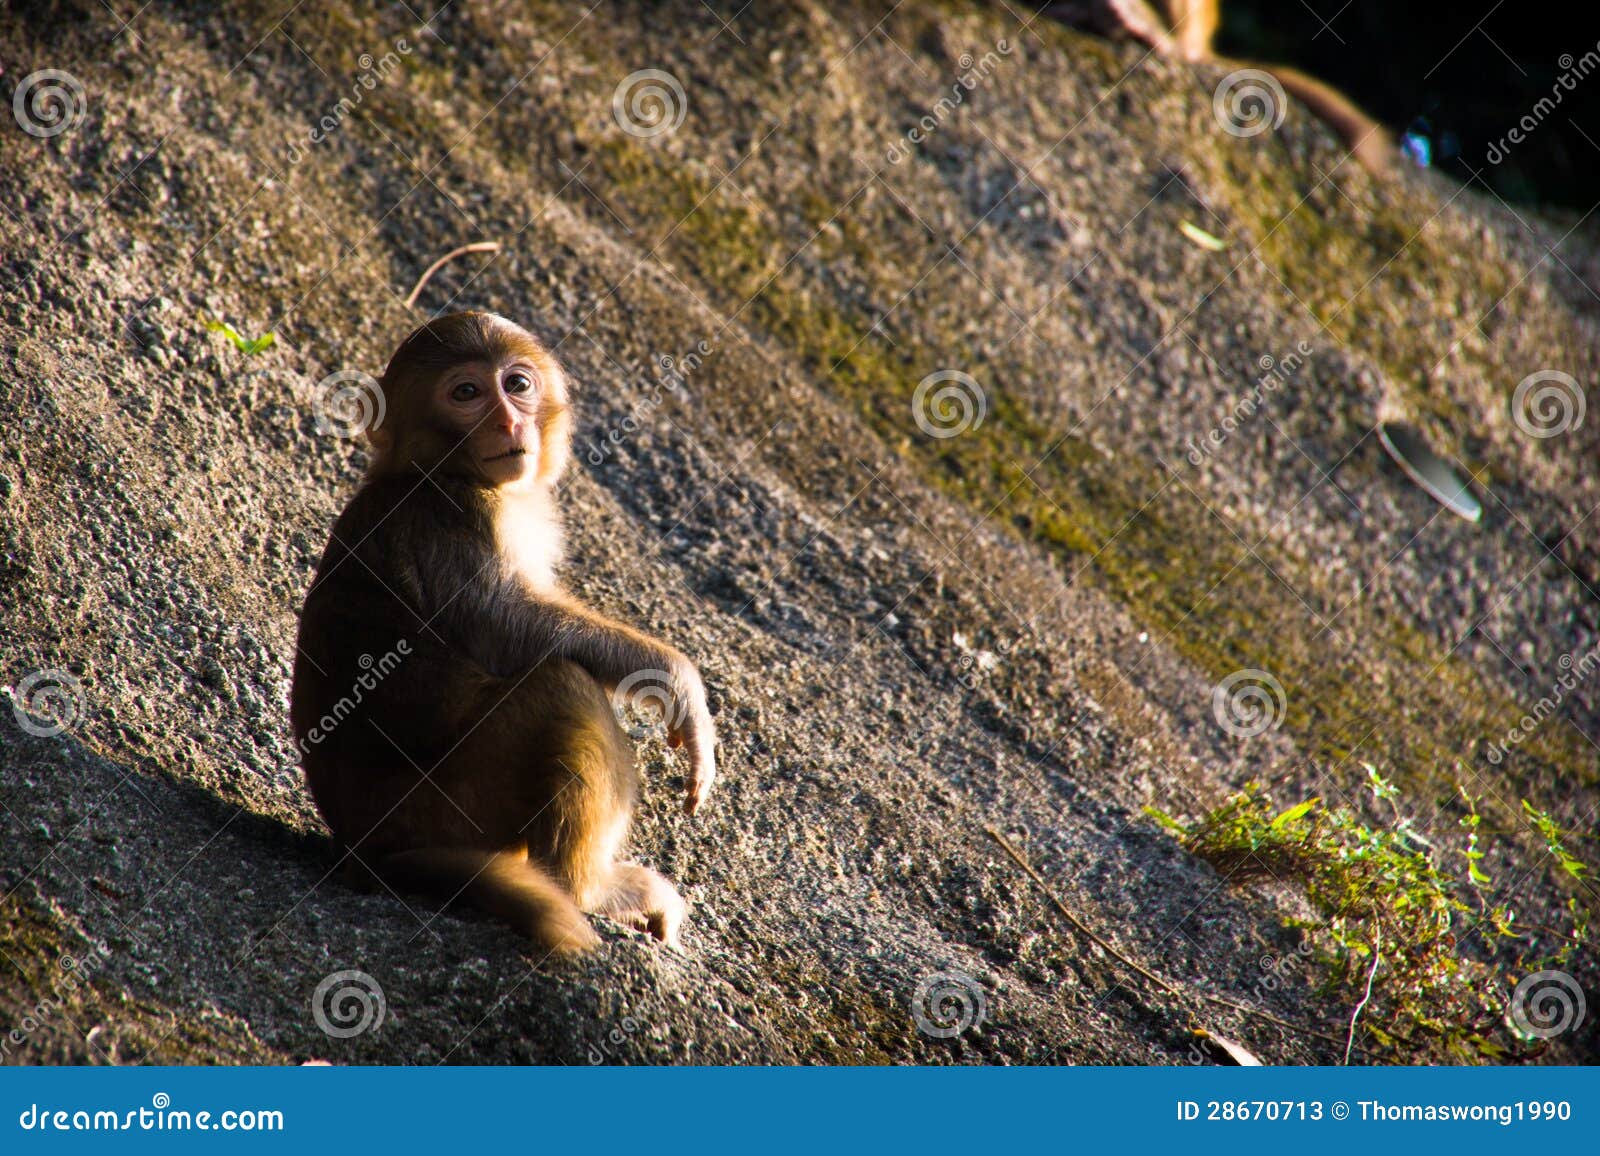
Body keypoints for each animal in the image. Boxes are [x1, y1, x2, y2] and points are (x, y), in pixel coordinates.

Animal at [289, 311, 716, 955]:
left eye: (516, 385)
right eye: (466, 393)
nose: (510, 421)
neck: (436, 471)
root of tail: (362, 851)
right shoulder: (456, 521)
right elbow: (507, 627)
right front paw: (678, 681)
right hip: (454, 805)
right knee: (563, 684)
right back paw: (592, 888)